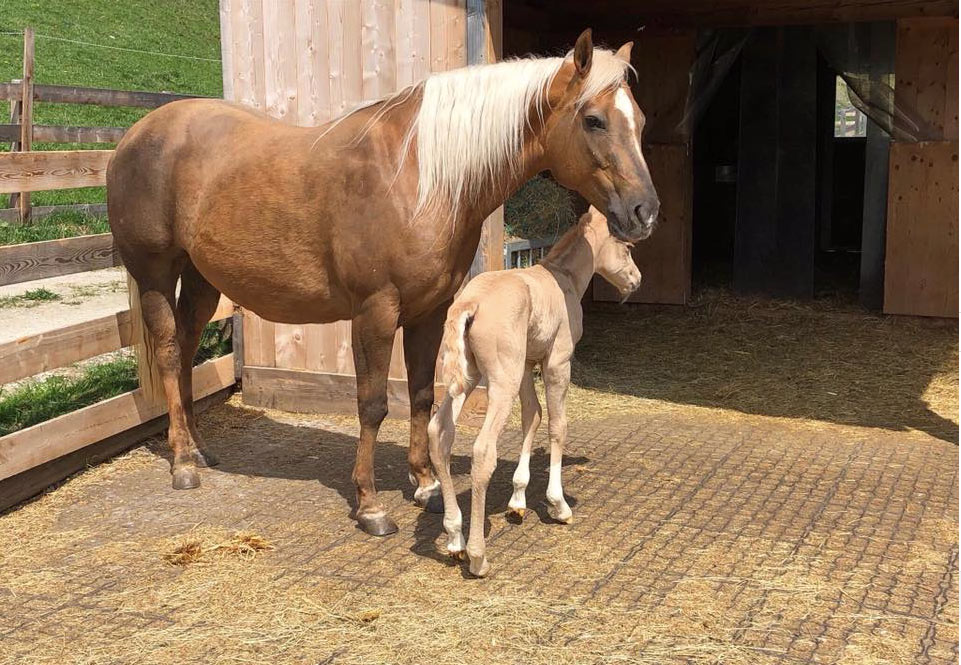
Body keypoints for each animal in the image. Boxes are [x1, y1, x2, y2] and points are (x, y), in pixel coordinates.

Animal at [106, 29, 660, 537]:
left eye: (639, 120)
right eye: (593, 119)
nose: (645, 212)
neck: (420, 177)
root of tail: (135, 136)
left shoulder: (429, 311)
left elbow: (420, 395)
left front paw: (427, 485)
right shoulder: (375, 311)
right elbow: (372, 405)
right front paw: (370, 504)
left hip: (202, 278)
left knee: (186, 346)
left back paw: (199, 449)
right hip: (156, 272)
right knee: (169, 351)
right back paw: (182, 462)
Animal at [428, 207, 641, 576]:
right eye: (626, 247)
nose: (636, 279)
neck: (563, 279)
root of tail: (469, 304)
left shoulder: (528, 363)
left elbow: (533, 415)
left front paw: (518, 500)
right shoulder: (557, 362)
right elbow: (557, 424)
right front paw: (559, 505)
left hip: (467, 378)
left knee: (439, 433)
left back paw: (454, 539)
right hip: (502, 379)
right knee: (483, 450)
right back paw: (477, 556)